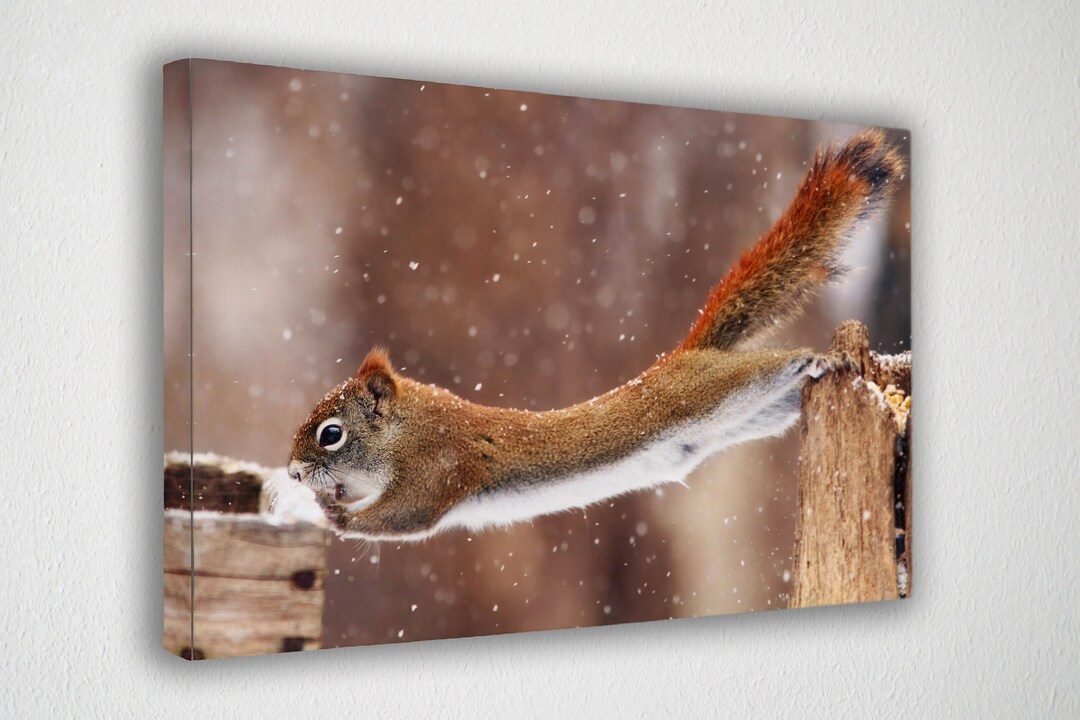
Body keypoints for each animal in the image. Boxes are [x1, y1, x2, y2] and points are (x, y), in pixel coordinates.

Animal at [287, 129, 905, 542]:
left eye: (331, 435)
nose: (293, 471)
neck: (407, 430)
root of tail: (686, 356)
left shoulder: (437, 468)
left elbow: (403, 518)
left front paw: (336, 516)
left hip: (718, 390)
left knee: (778, 364)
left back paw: (821, 359)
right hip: (753, 416)